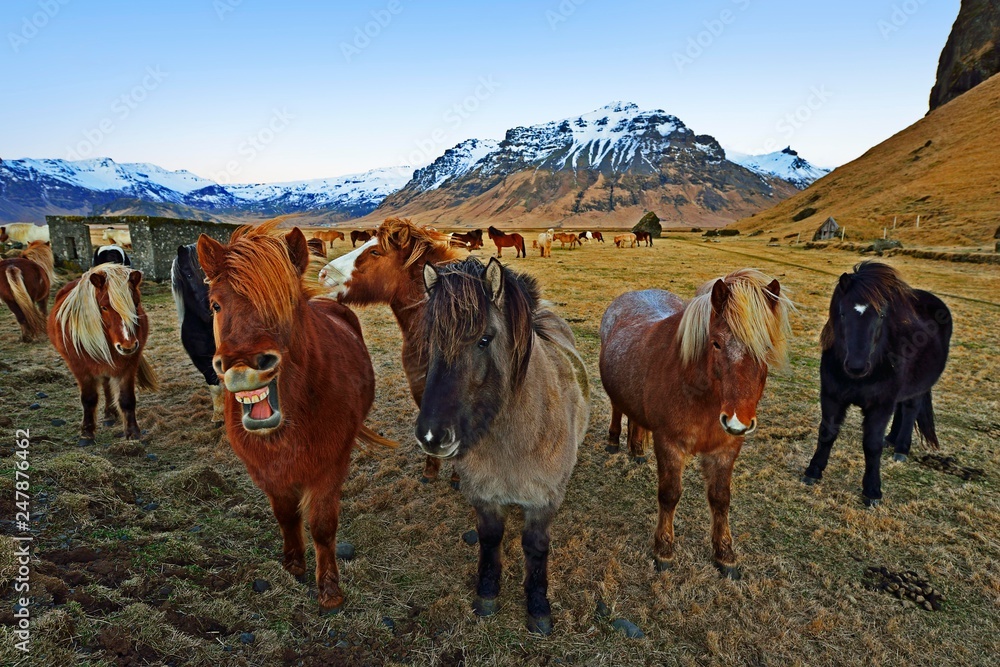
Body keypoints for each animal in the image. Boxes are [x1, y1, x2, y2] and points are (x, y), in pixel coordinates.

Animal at [49, 264, 158, 446]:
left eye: (136, 303)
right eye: (104, 307)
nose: (128, 346)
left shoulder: (128, 366)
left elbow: (127, 400)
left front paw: (133, 433)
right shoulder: (80, 368)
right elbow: (89, 399)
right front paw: (86, 433)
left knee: (107, 386)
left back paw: (110, 413)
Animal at [197, 222, 395, 613]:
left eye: (285, 302)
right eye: (215, 304)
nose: (243, 368)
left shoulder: (328, 467)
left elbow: (322, 526)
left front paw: (329, 589)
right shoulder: (266, 471)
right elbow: (286, 515)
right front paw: (293, 564)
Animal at [416, 257, 588, 635]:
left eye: (484, 339)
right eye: (433, 338)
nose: (432, 436)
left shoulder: (543, 501)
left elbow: (535, 548)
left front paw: (538, 606)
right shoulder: (483, 495)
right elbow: (490, 539)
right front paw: (487, 592)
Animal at [599, 269, 792, 578]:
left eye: (765, 348)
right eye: (716, 343)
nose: (737, 420)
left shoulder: (727, 448)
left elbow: (720, 499)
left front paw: (725, 555)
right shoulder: (669, 444)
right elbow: (669, 495)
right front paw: (664, 551)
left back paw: (637, 450)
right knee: (618, 408)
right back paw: (614, 442)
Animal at [803, 262, 952, 507]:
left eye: (881, 314)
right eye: (842, 313)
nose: (857, 366)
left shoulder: (880, 405)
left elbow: (872, 445)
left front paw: (872, 491)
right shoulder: (832, 396)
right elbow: (827, 433)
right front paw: (813, 471)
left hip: (918, 388)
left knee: (910, 410)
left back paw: (901, 449)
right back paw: (891, 439)